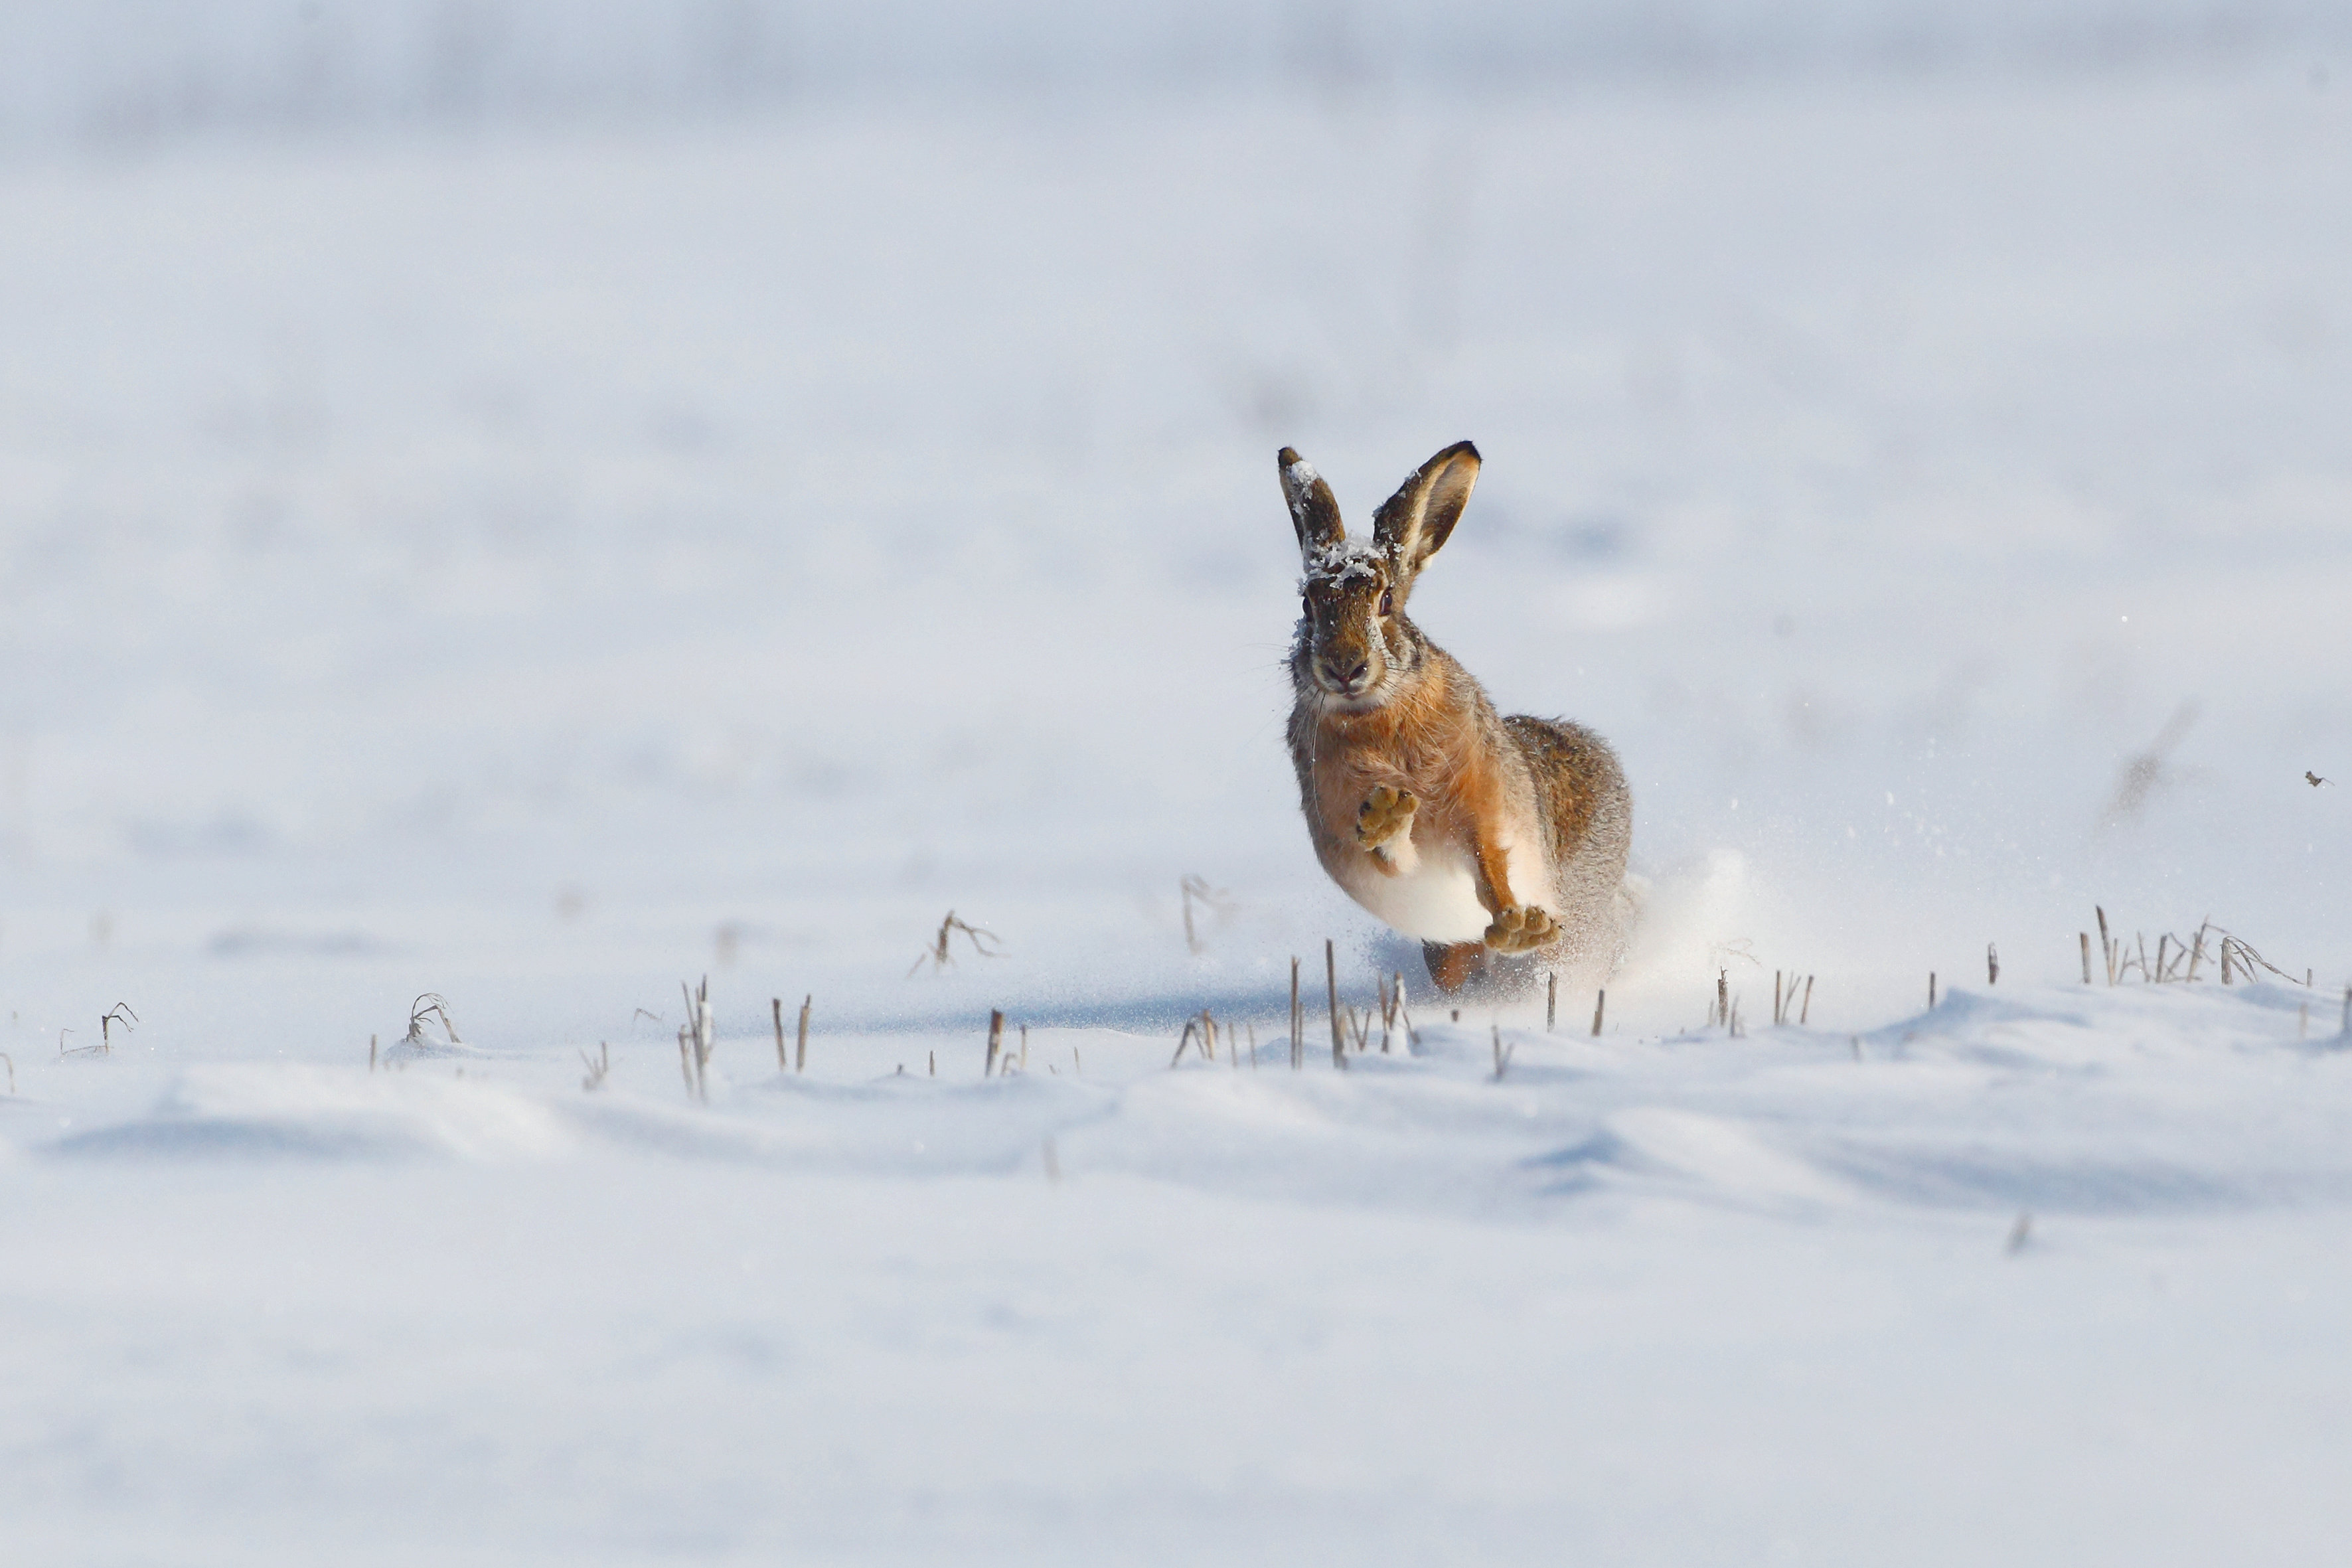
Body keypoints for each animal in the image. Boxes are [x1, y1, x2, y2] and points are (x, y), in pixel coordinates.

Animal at [1280, 440, 1632, 995]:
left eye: (1386, 600)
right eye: (1307, 605)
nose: (1344, 667)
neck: (1376, 717)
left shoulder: (1481, 803)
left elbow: (1491, 866)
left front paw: (1519, 927)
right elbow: (1391, 858)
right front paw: (1386, 815)